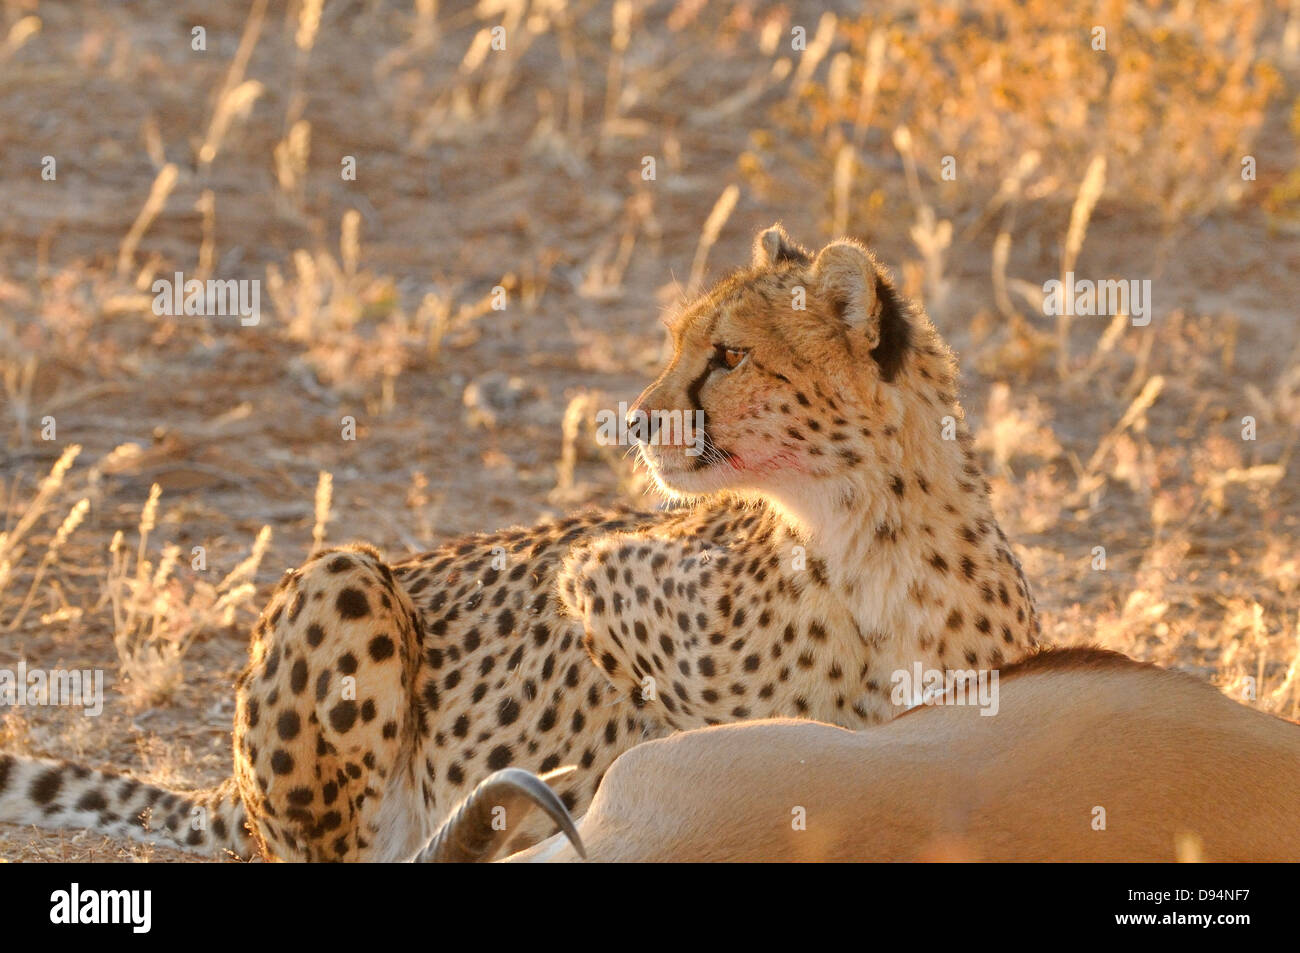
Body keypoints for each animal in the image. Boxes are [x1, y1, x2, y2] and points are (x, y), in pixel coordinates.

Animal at [0, 225, 1040, 861]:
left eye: (731, 355)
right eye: (679, 343)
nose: (637, 420)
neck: (864, 530)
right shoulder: (598, 574)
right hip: (345, 576)